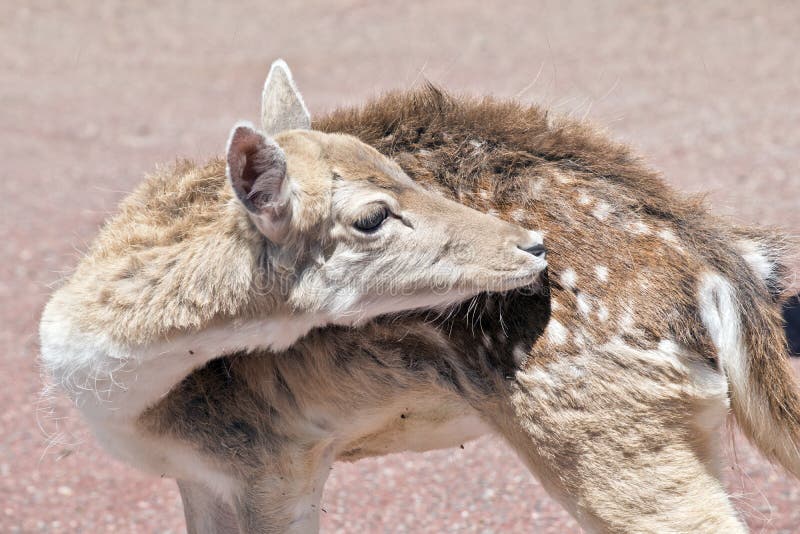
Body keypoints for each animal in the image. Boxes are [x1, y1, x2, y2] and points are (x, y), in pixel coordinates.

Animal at [41, 60, 799, 533]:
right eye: (373, 215)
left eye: (402, 171)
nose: (531, 247)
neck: (121, 395)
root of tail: (717, 259)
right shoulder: (200, 475)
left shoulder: (272, 453)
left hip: (602, 422)